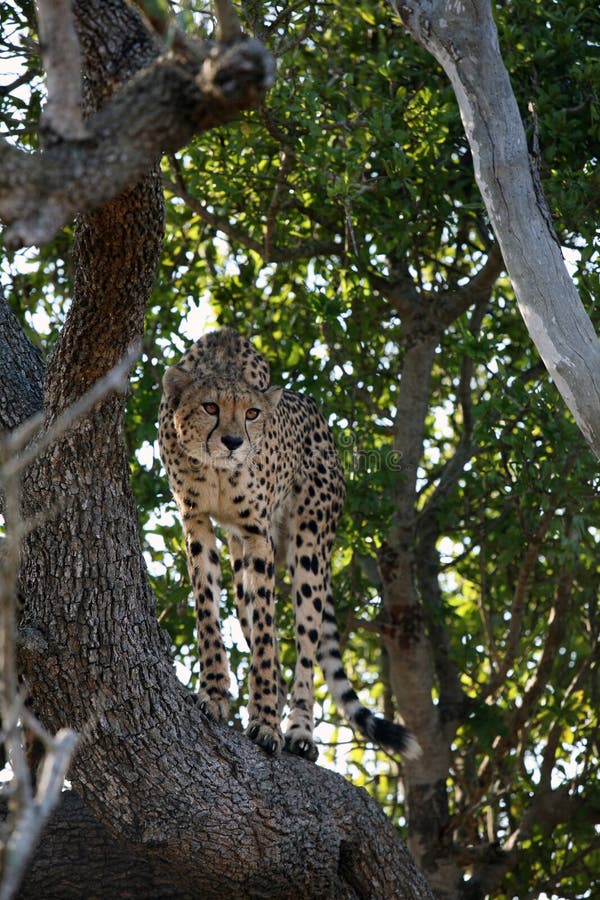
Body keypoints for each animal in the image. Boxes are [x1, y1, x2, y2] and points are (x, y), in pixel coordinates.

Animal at [158, 328, 421, 762]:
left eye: (252, 414)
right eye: (210, 407)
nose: (233, 441)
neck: (216, 471)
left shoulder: (256, 534)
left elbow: (268, 636)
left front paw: (265, 722)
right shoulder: (197, 523)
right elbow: (208, 614)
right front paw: (214, 692)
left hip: (310, 545)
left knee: (306, 645)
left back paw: (299, 729)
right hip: (242, 564)